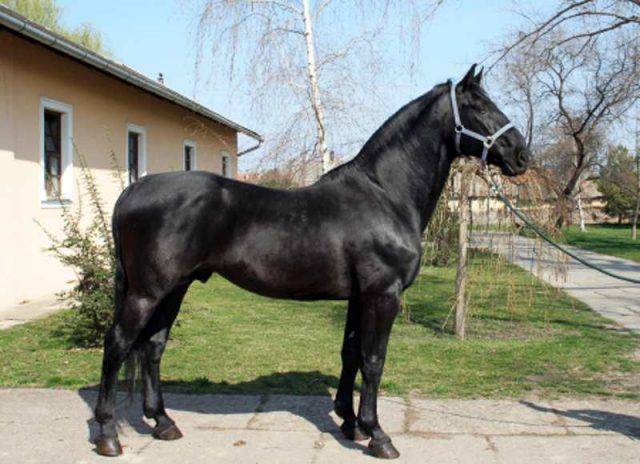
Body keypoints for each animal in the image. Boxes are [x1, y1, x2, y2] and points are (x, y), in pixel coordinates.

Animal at [93, 64, 529, 459]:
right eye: (479, 106)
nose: (521, 154)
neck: (385, 195)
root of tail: (132, 191)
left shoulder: (359, 297)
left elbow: (351, 354)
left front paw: (350, 423)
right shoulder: (383, 295)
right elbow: (374, 360)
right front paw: (378, 435)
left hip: (175, 288)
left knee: (152, 347)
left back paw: (162, 422)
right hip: (147, 292)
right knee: (118, 344)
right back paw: (108, 435)